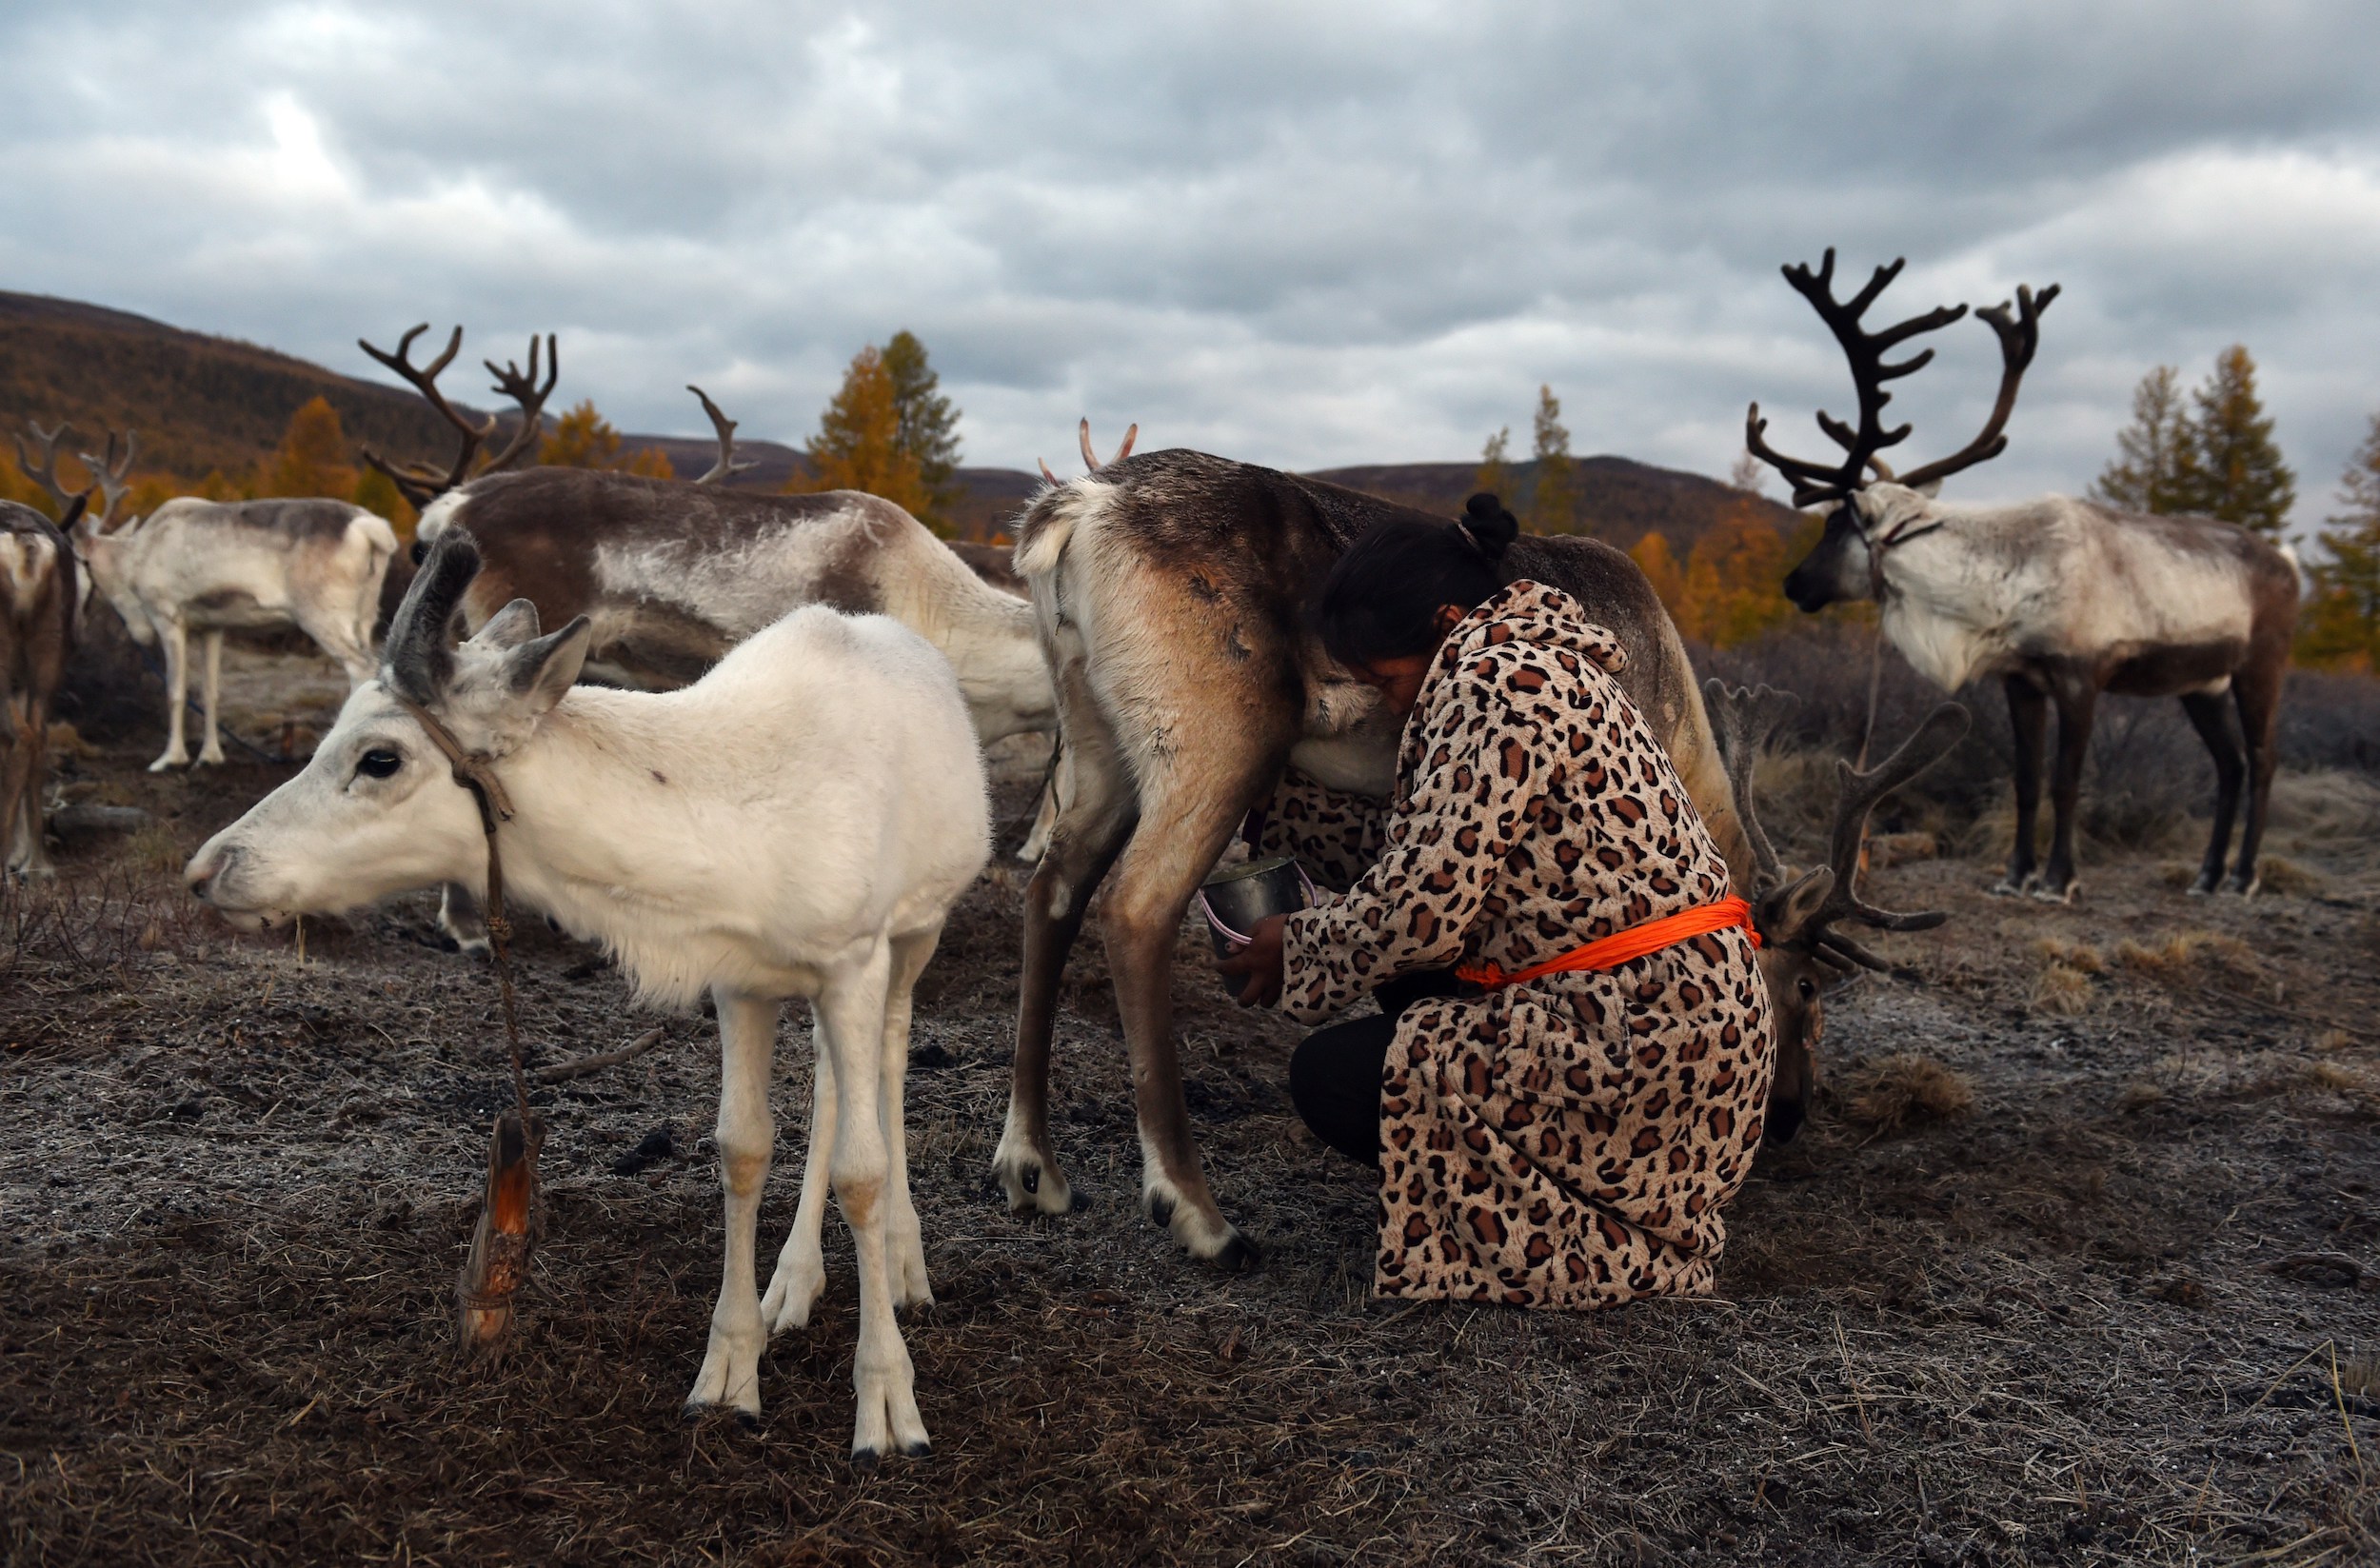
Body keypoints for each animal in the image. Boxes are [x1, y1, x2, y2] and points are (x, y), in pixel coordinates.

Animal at [27, 422, 403, 774]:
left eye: (79, 560)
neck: (134, 560)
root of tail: (374, 531)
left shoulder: (168, 616)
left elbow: (175, 691)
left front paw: (170, 758)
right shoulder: (212, 627)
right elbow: (211, 692)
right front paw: (210, 756)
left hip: (323, 615)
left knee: (361, 668)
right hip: (365, 615)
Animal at [184, 531, 990, 1461]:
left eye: (379, 757)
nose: (207, 869)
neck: (724, 835)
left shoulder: (856, 958)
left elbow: (864, 1170)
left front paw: (887, 1401)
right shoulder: (741, 977)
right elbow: (741, 1147)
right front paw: (729, 1370)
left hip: (916, 934)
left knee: (889, 1059)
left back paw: (903, 1259)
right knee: (829, 1075)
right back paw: (795, 1277)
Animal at [1745, 250, 2301, 902]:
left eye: (1835, 524)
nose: (1793, 584)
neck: (2001, 590)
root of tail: (2289, 562)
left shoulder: (2081, 677)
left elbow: (2066, 781)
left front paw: (2059, 879)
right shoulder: (2021, 680)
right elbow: (2026, 780)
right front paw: (2014, 875)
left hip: (2260, 666)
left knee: (2262, 760)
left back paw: (2243, 876)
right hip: (2201, 683)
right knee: (2229, 765)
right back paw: (2208, 875)